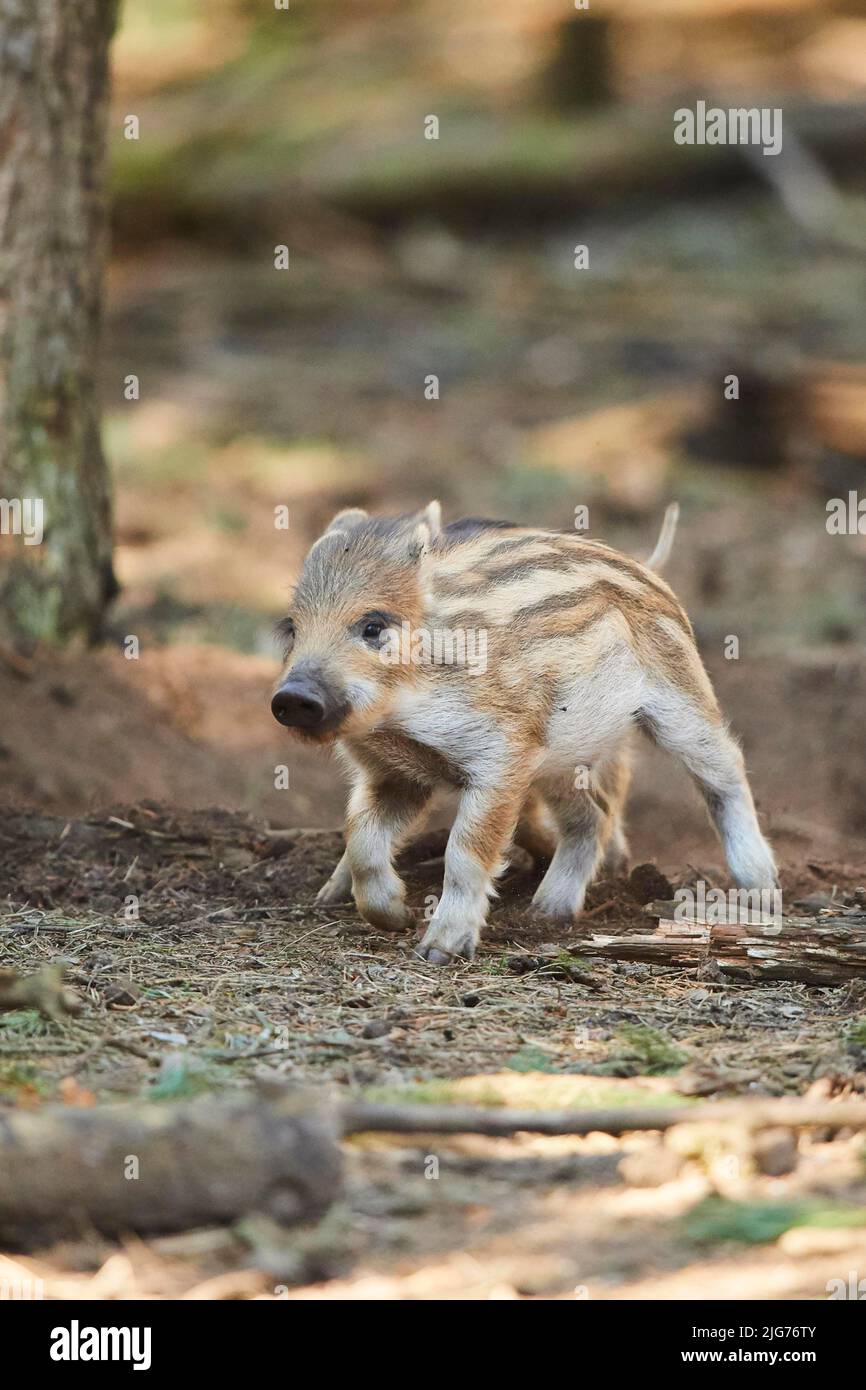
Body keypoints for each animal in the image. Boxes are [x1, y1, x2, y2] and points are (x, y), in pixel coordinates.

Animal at [271, 502, 777, 964]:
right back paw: (548, 913)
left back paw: (761, 887)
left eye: (373, 626)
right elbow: (361, 840)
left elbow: (465, 853)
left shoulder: (501, 756)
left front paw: (439, 952)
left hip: (679, 701)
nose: (292, 697)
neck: (401, 712)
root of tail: (643, 569)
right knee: (591, 816)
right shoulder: (397, 774)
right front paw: (396, 917)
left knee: (724, 771)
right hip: (561, 760)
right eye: (292, 628)